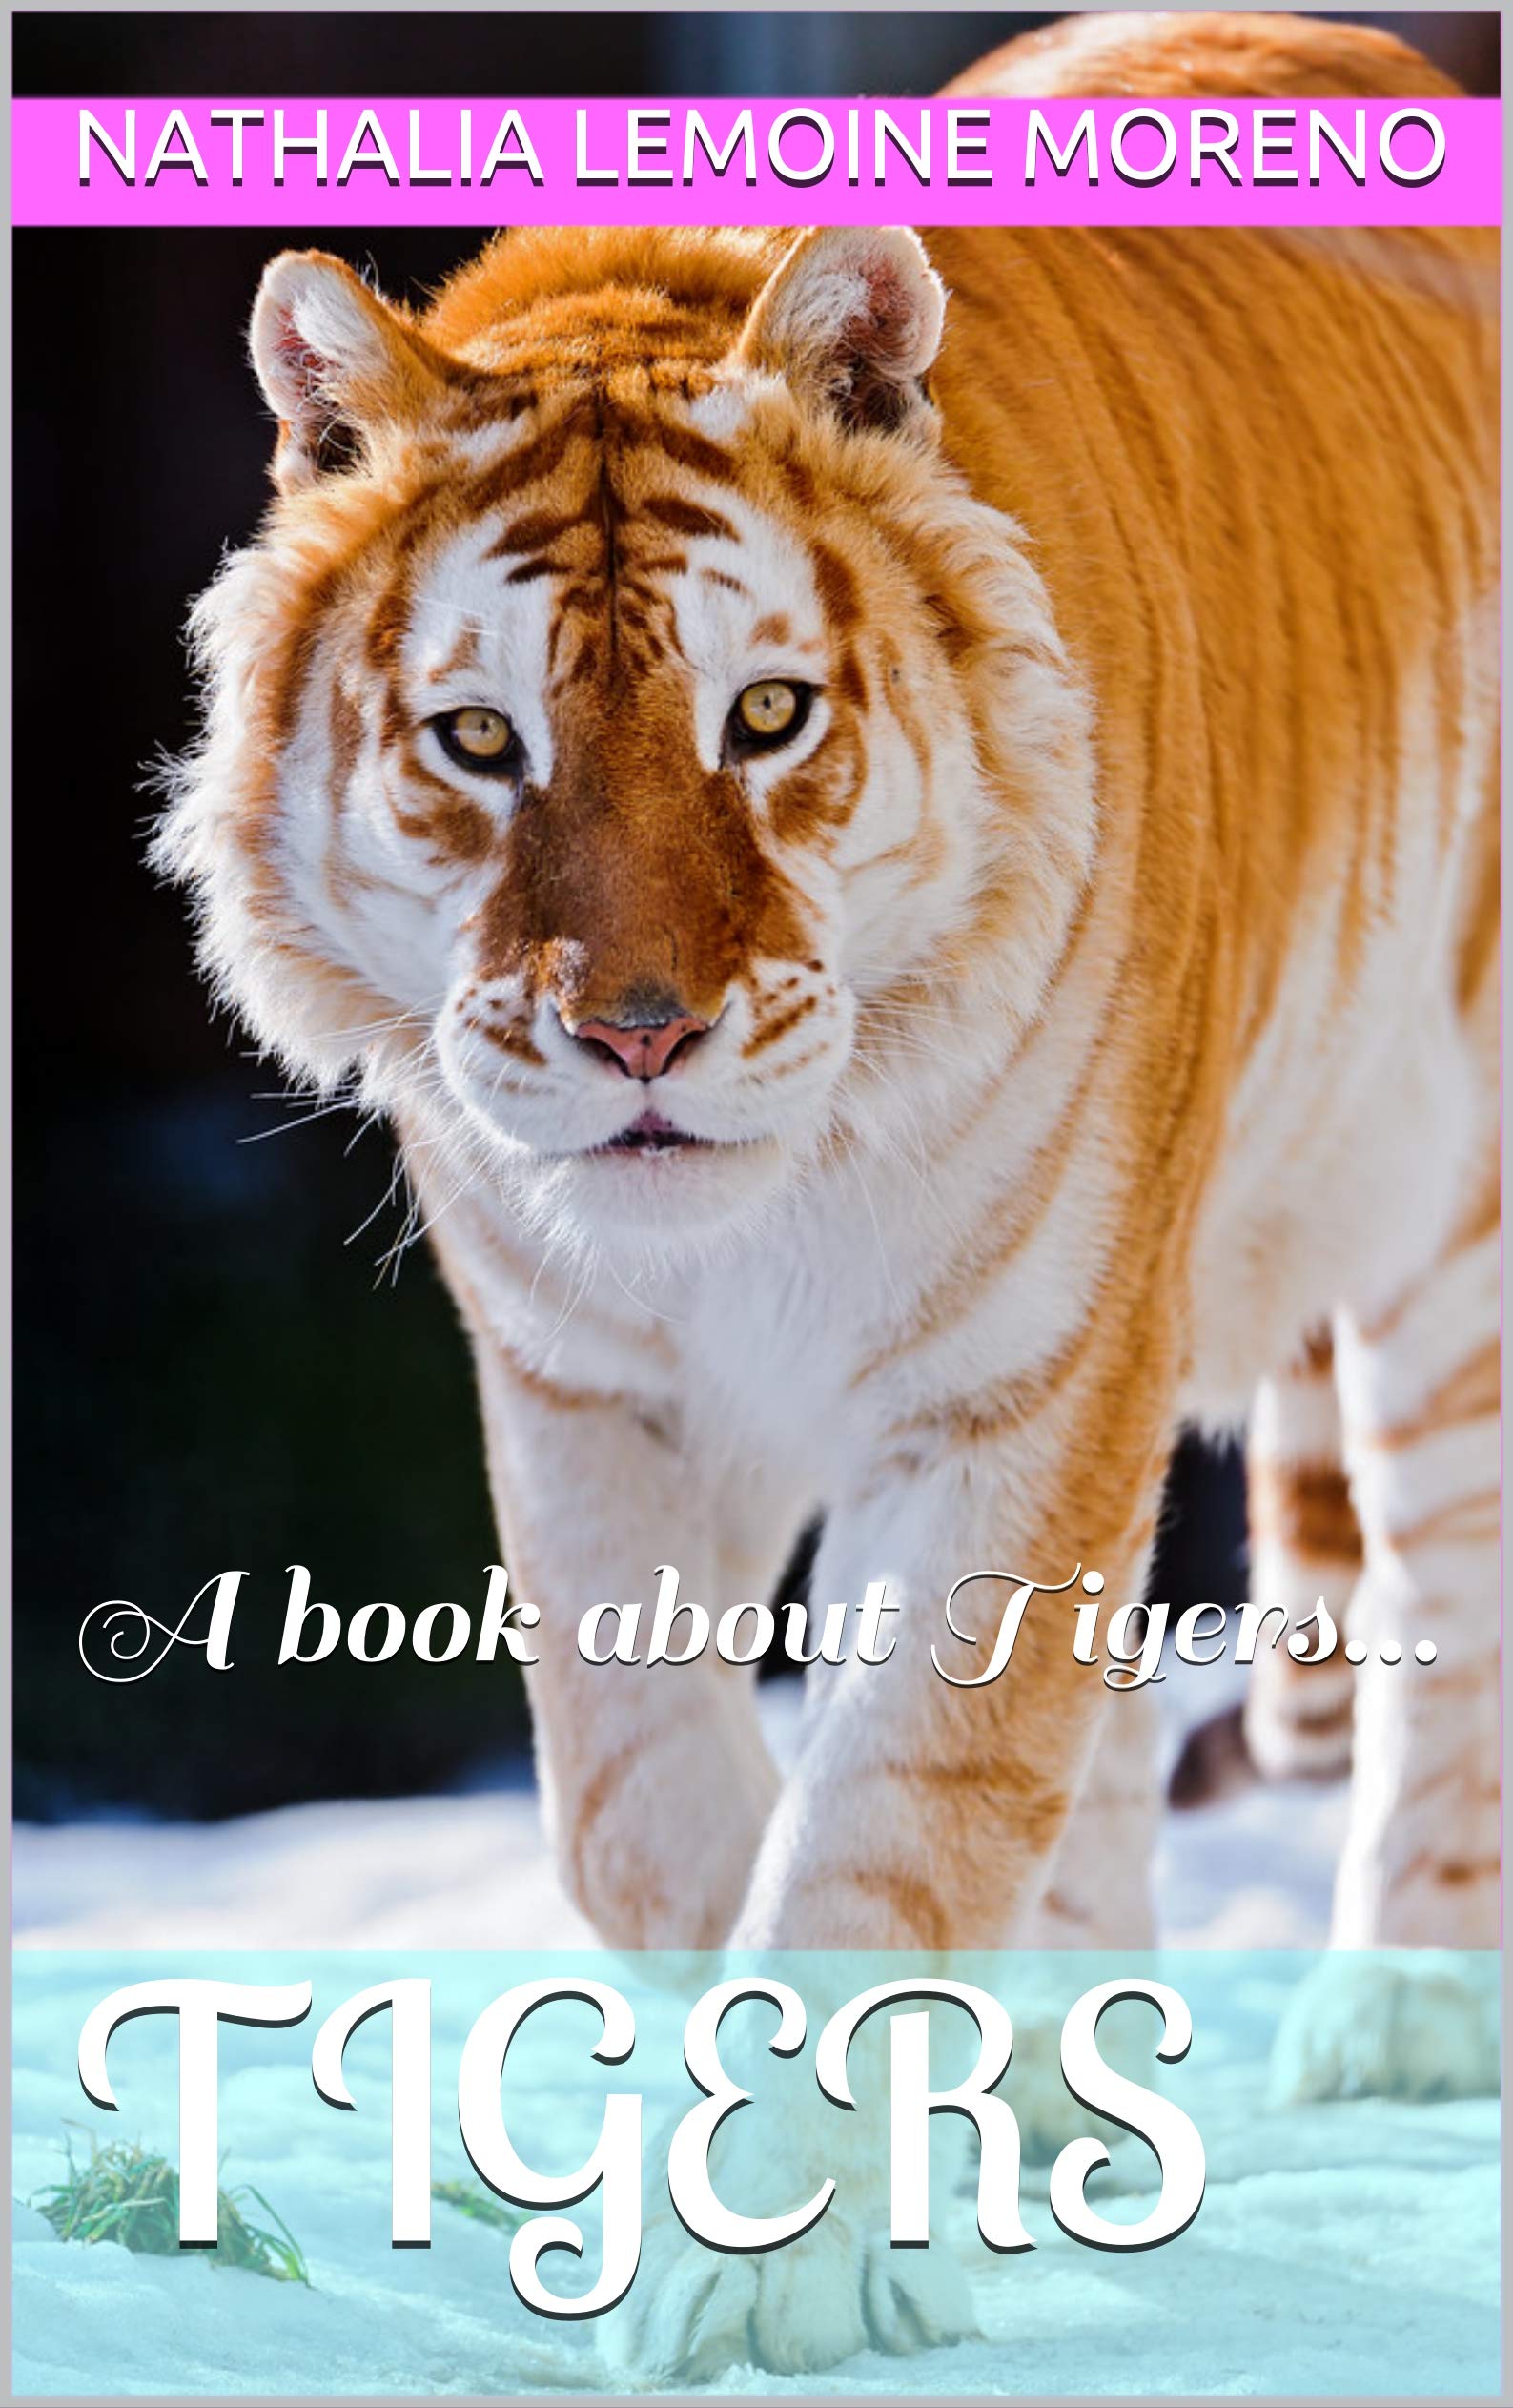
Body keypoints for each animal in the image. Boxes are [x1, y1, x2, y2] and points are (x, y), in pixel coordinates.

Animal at [157, 9, 1499, 2374]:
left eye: (765, 714)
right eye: (483, 742)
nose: (638, 1035)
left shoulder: (1025, 1381)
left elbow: (891, 1819)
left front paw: (772, 2257)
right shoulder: (579, 1391)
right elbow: (652, 1809)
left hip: (1453, 1219)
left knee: (1457, 1606)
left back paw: (1404, 2006)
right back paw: (1060, 2086)